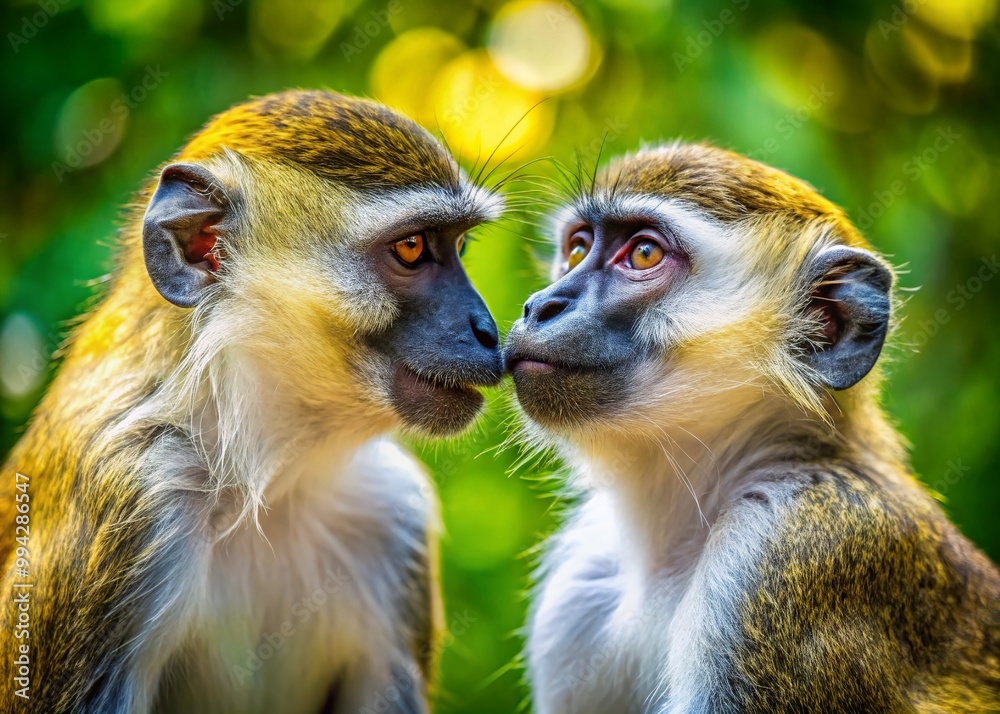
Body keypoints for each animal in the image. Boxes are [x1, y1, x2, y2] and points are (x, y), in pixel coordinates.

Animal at [0, 90, 505, 714]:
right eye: (412, 248)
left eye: (459, 246)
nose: (488, 330)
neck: (264, 473)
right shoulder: (129, 498)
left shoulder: (395, 509)